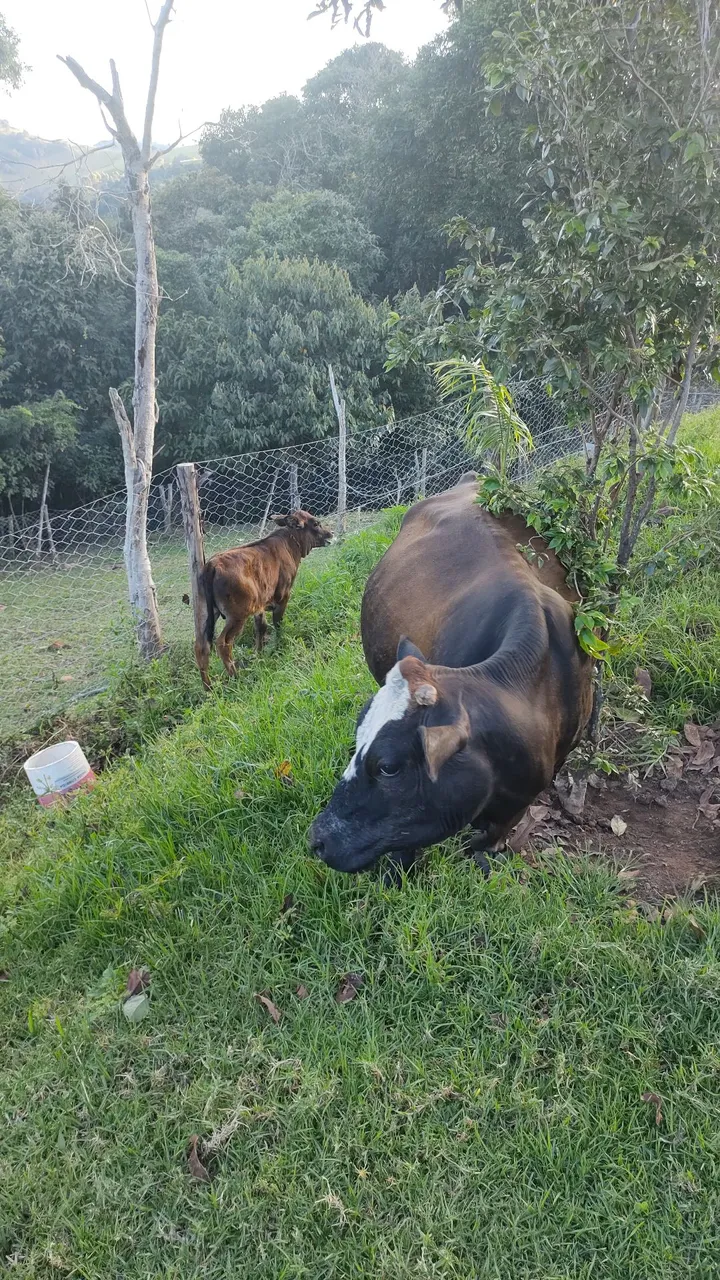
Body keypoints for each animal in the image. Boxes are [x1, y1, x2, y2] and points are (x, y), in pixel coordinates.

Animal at [195, 510, 332, 689]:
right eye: (316, 523)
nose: (330, 533)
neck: (290, 544)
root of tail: (212, 565)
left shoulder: (259, 606)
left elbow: (261, 628)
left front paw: (258, 656)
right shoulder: (283, 596)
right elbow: (277, 623)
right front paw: (279, 645)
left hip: (205, 612)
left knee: (201, 646)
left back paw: (208, 688)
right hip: (237, 616)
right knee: (223, 643)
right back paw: (235, 678)